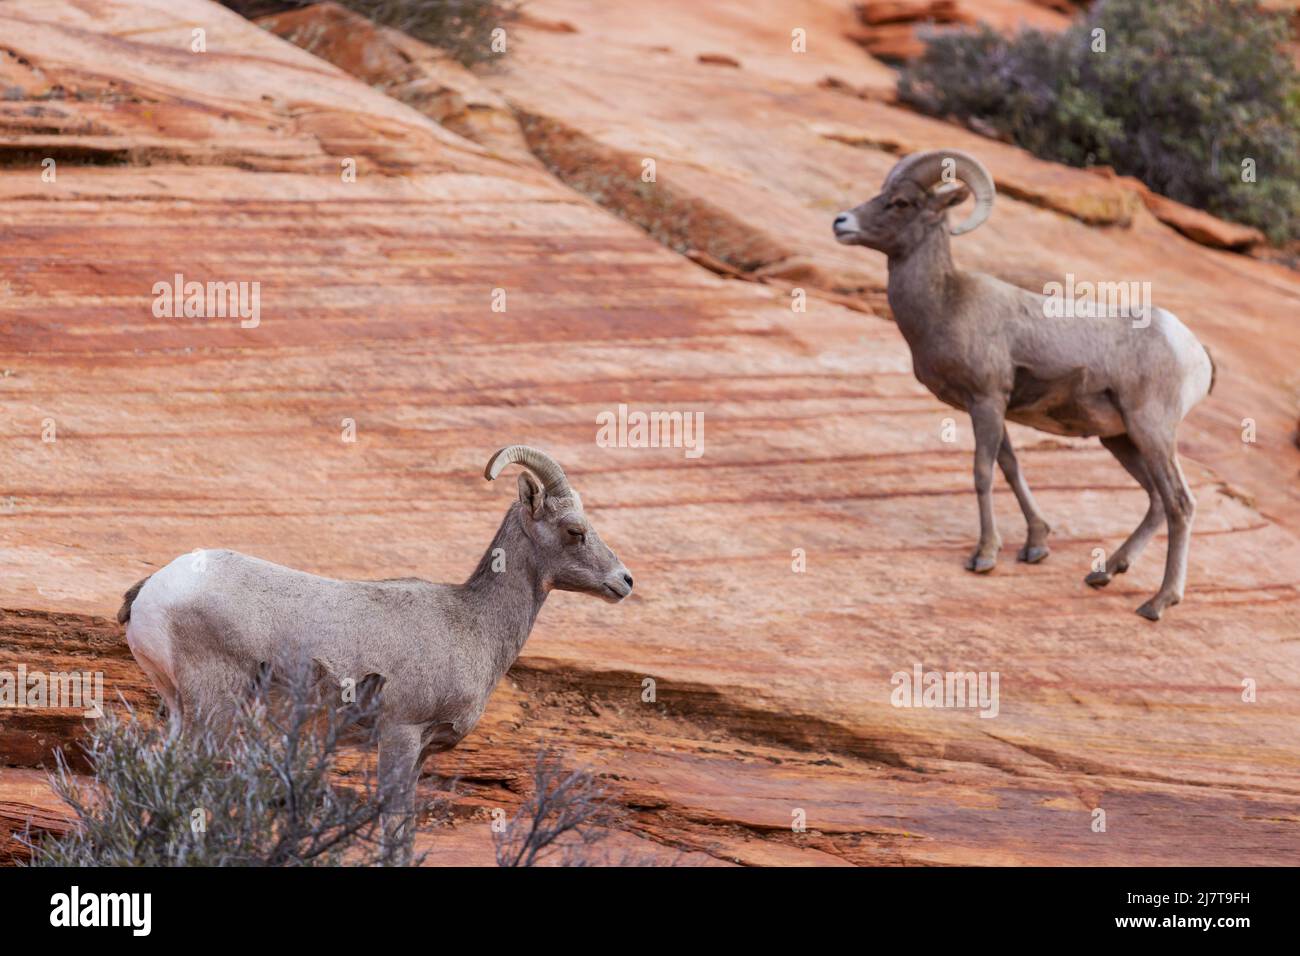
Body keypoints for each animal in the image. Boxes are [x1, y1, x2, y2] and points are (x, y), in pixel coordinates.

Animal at [117, 445, 633, 820]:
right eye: (574, 531)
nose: (625, 581)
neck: (471, 623)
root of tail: (154, 588)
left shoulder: (422, 752)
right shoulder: (400, 734)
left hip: (180, 708)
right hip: (213, 707)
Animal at [833, 150, 1214, 620]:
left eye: (901, 202)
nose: (841, 222)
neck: (945, 303)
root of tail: (1195, 354)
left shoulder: (986, 401)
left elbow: (983, 473)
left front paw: (984, 557)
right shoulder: (994, 408)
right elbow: (1011, 467)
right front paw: (1036, 546)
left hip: (1151, 432)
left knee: (1179, 504)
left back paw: (1157, 602)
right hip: (1121, 439)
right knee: (1157, 501)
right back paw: (1104, 572)